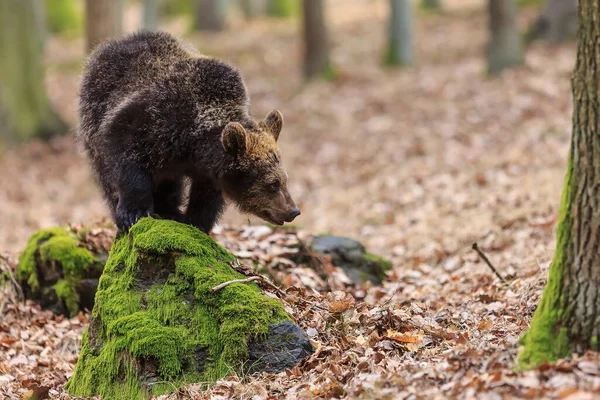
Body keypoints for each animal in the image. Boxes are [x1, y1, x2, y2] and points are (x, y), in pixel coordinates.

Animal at [78, 31, 300, 233]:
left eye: (285, 179)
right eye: (273, 184)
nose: (293, 211)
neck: (193, 145)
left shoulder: (207, 169)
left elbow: (205, 197)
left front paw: (195, 222)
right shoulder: (148, 122)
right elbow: (125, 157)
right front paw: (133, 213)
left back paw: (170, 210)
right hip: (93, 115)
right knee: (106, 175)